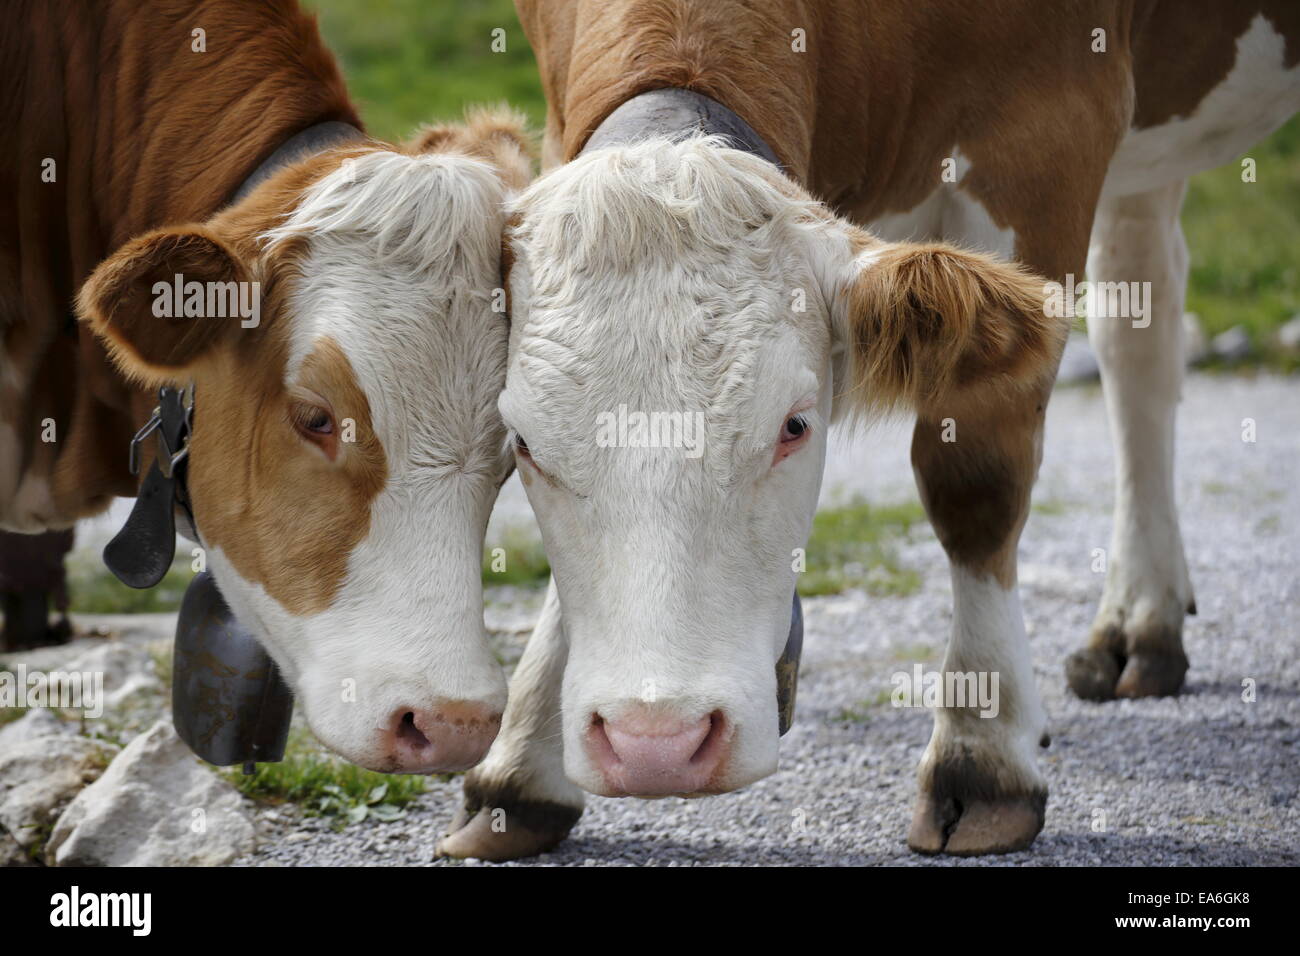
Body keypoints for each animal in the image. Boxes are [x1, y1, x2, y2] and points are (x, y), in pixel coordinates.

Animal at [437, 0, 1300, 860]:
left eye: (796, 426)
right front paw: (523, 763)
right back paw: (1142, 621)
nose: (660, 744)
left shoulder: (1048, 135)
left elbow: (976, 483)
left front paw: (980, 757)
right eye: (523, 446)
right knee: (1141, 318)